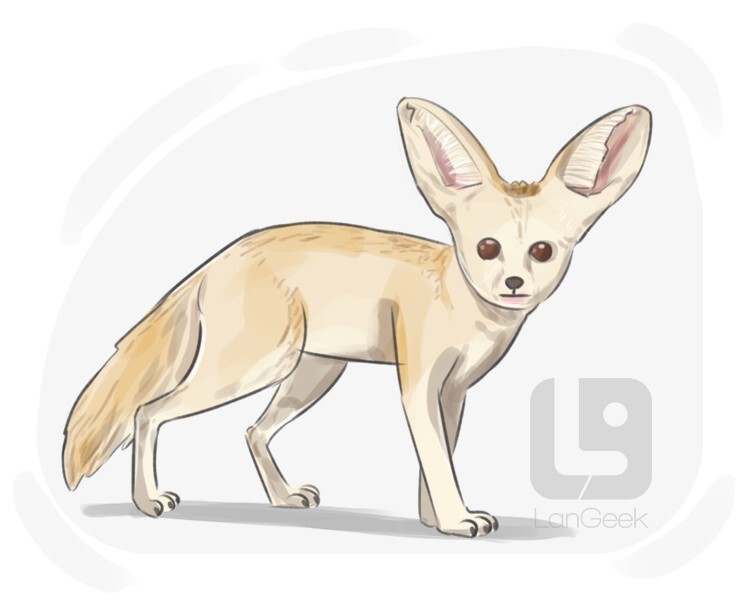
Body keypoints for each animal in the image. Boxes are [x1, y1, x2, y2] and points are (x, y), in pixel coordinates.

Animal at [63, 97, 651, 537]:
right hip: (254, 368)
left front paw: (433, 518)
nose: (513, 285)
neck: (462, 304)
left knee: (252, 430)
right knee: (148, 412)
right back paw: (148, 501)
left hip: (312, 374)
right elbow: (438, 459)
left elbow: (439, 458)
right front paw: (455, 520)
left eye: (542, 252)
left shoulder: (454, 391)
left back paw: (282, 497)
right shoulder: (418, 384)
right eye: (487, 248)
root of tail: (217, 259)